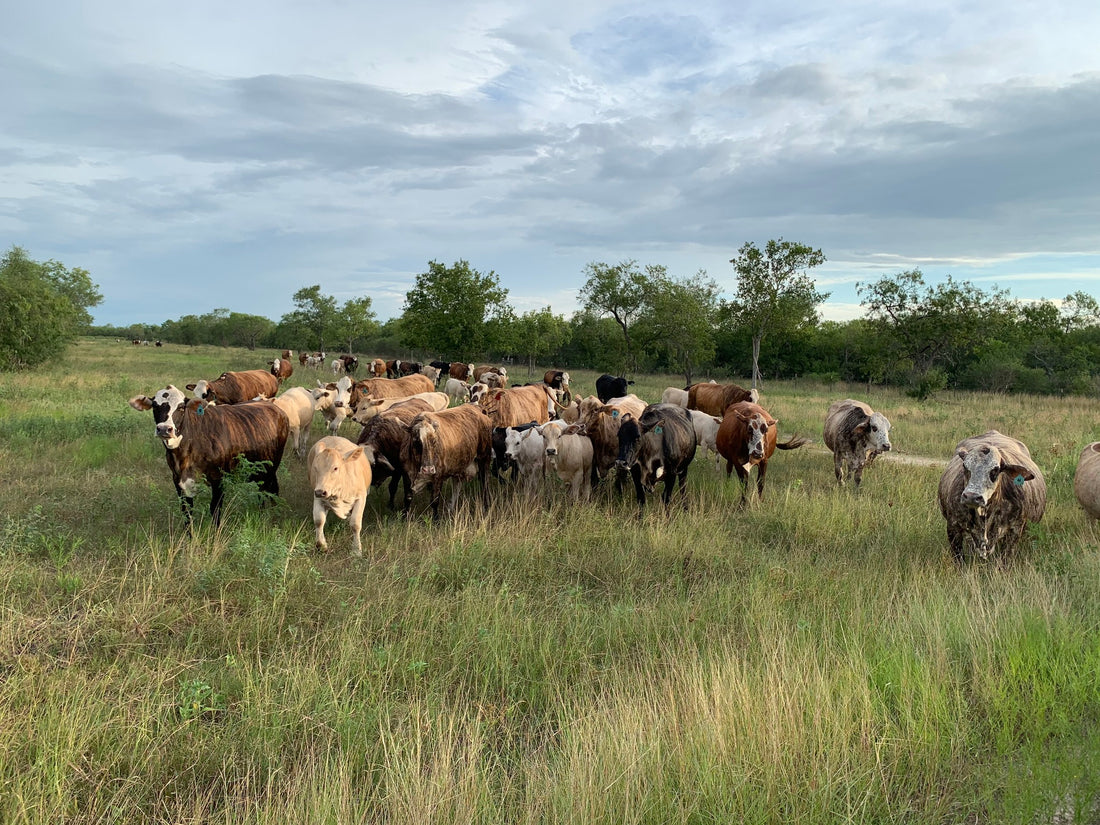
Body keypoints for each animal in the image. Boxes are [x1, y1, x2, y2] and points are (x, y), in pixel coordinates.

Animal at [128, 386, 288, 526]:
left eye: (181, 407)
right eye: (155, 406)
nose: (164, 429)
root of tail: (273, 405)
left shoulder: (219, 480)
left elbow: (215, 511)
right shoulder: (178, 481)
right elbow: (187, 514)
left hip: (270, 468)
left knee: (268, 492)